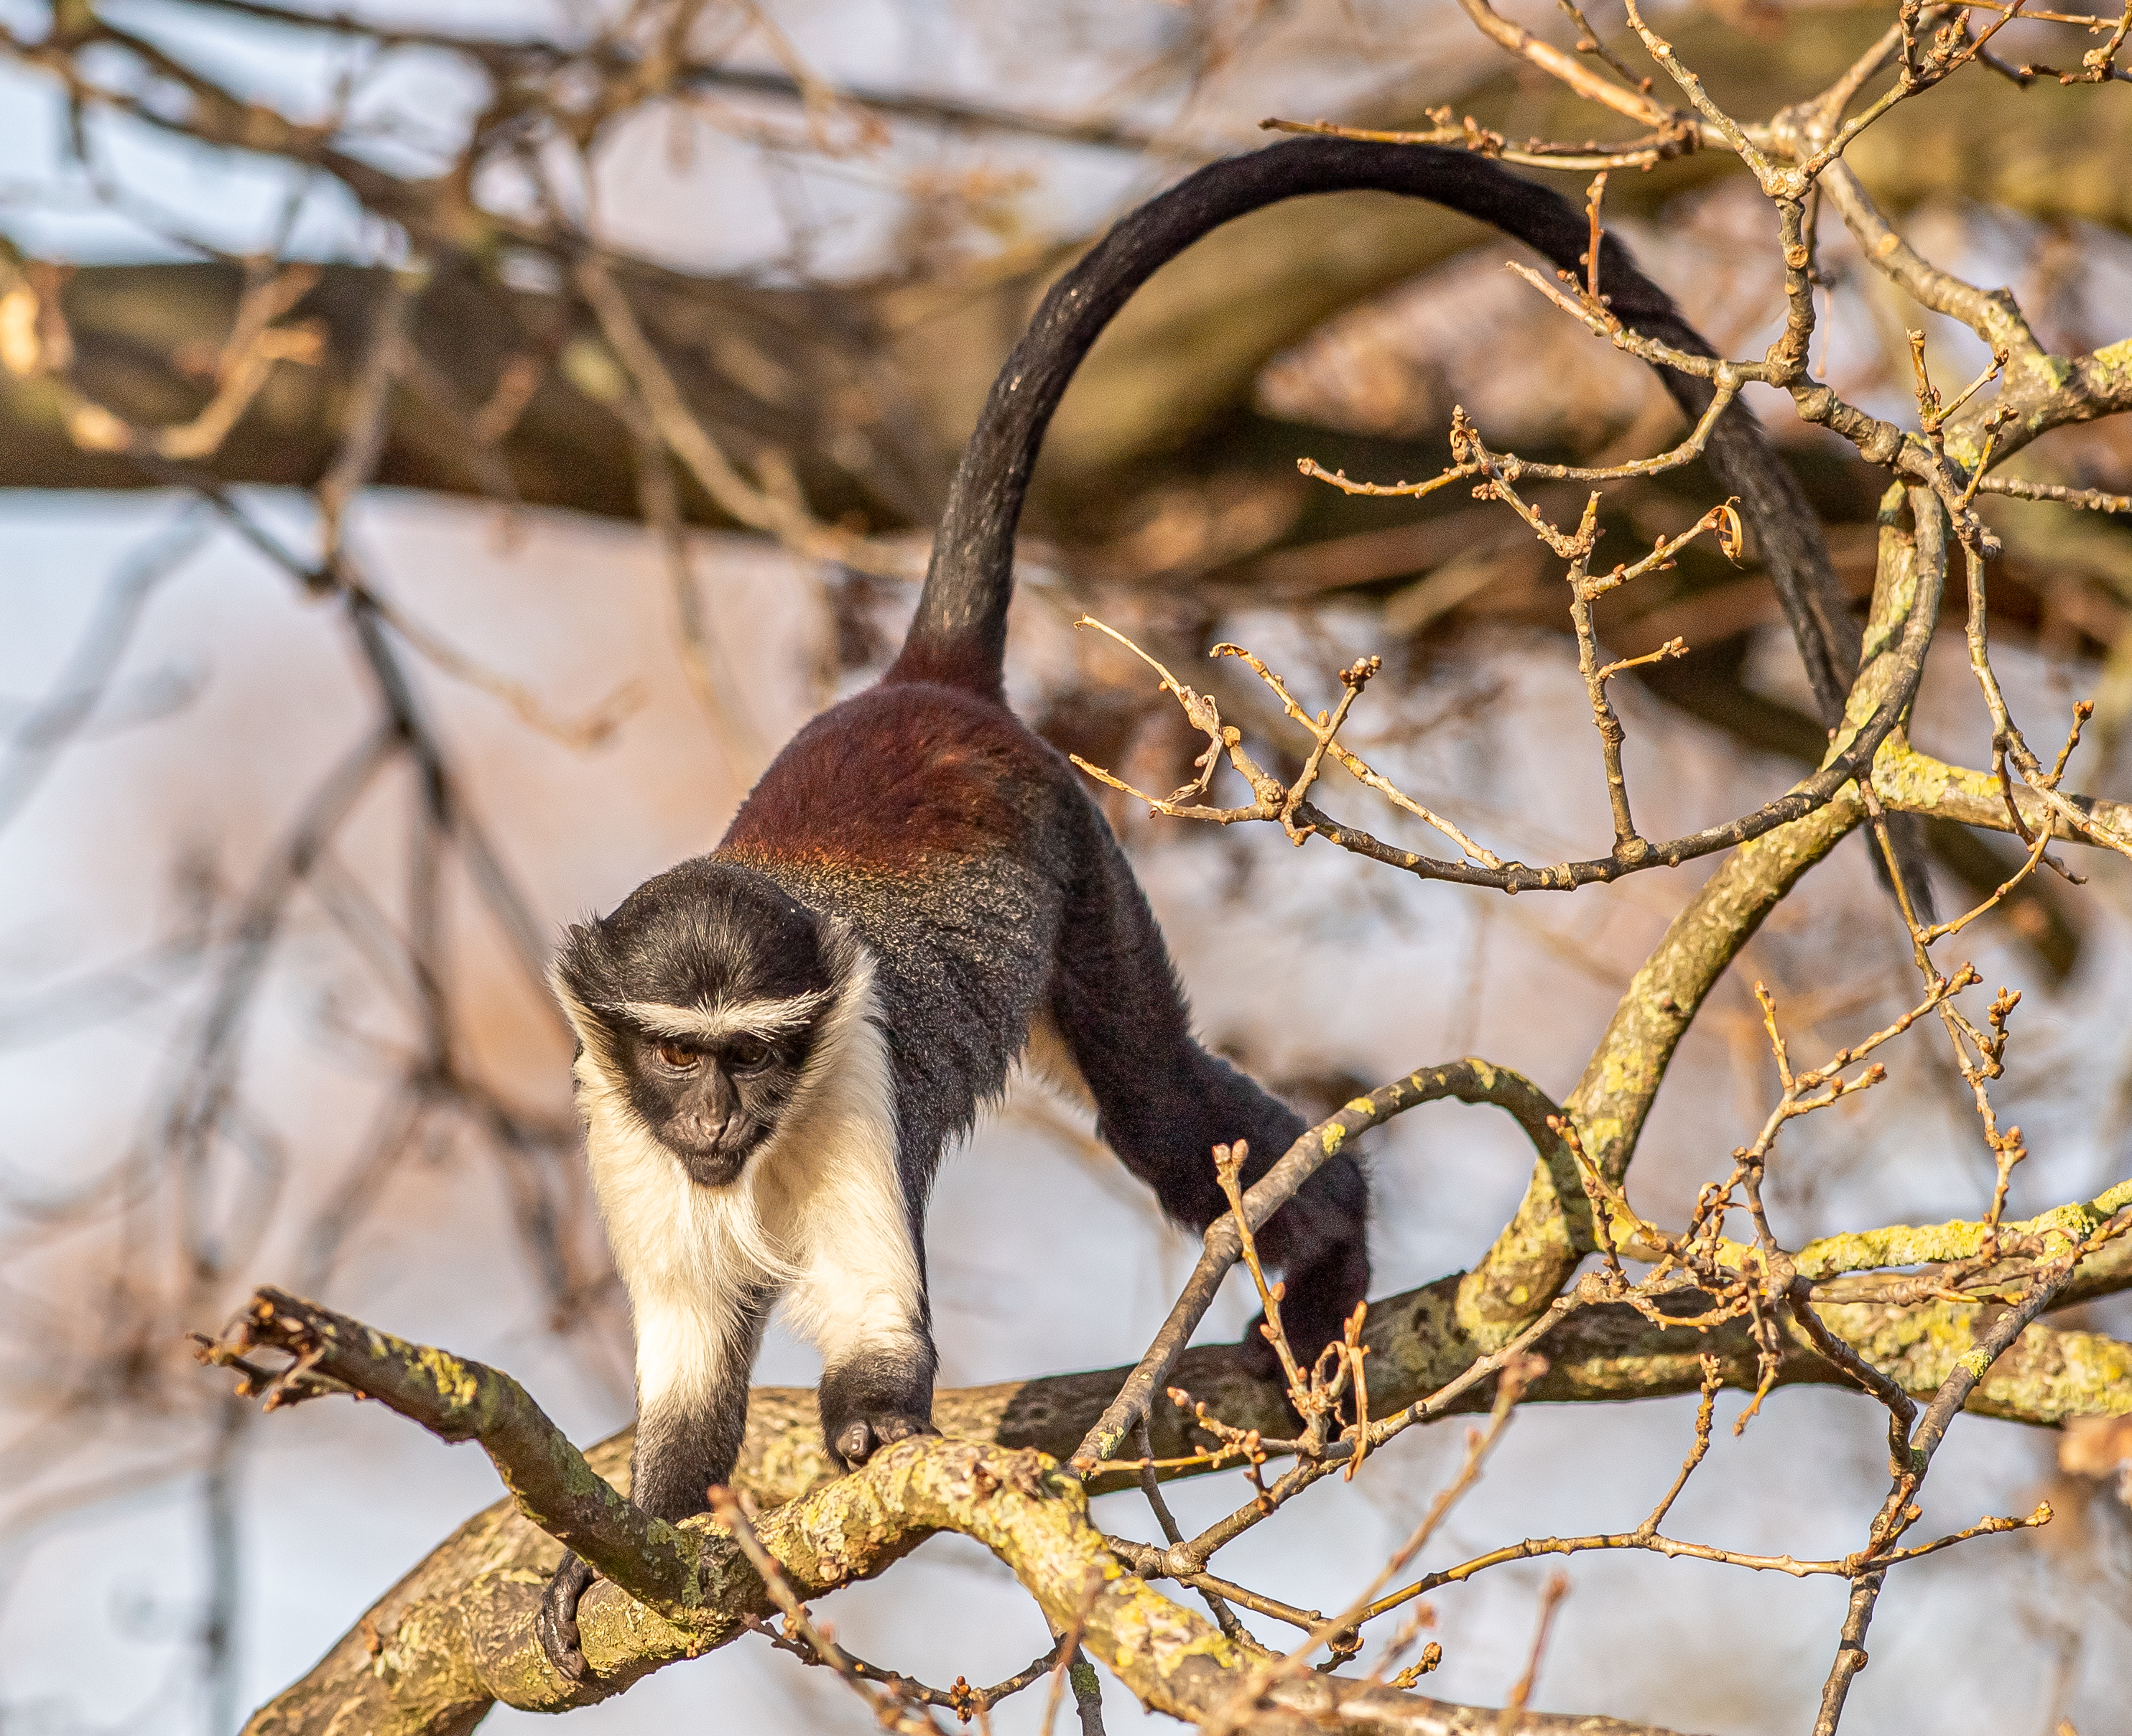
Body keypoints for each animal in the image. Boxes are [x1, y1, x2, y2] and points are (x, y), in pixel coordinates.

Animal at [536, 137, 1848, 1678]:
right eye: (675, 1053)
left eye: (749, 1054)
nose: (712, 1118)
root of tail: (927, 683)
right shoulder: (617, 1119)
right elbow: (690, 1386)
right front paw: (610, 1552)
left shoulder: (851, 1067)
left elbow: (878, 1337)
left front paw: (869, 1432)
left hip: (1087, 873)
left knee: (1156, 1101)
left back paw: (1328, 1253)